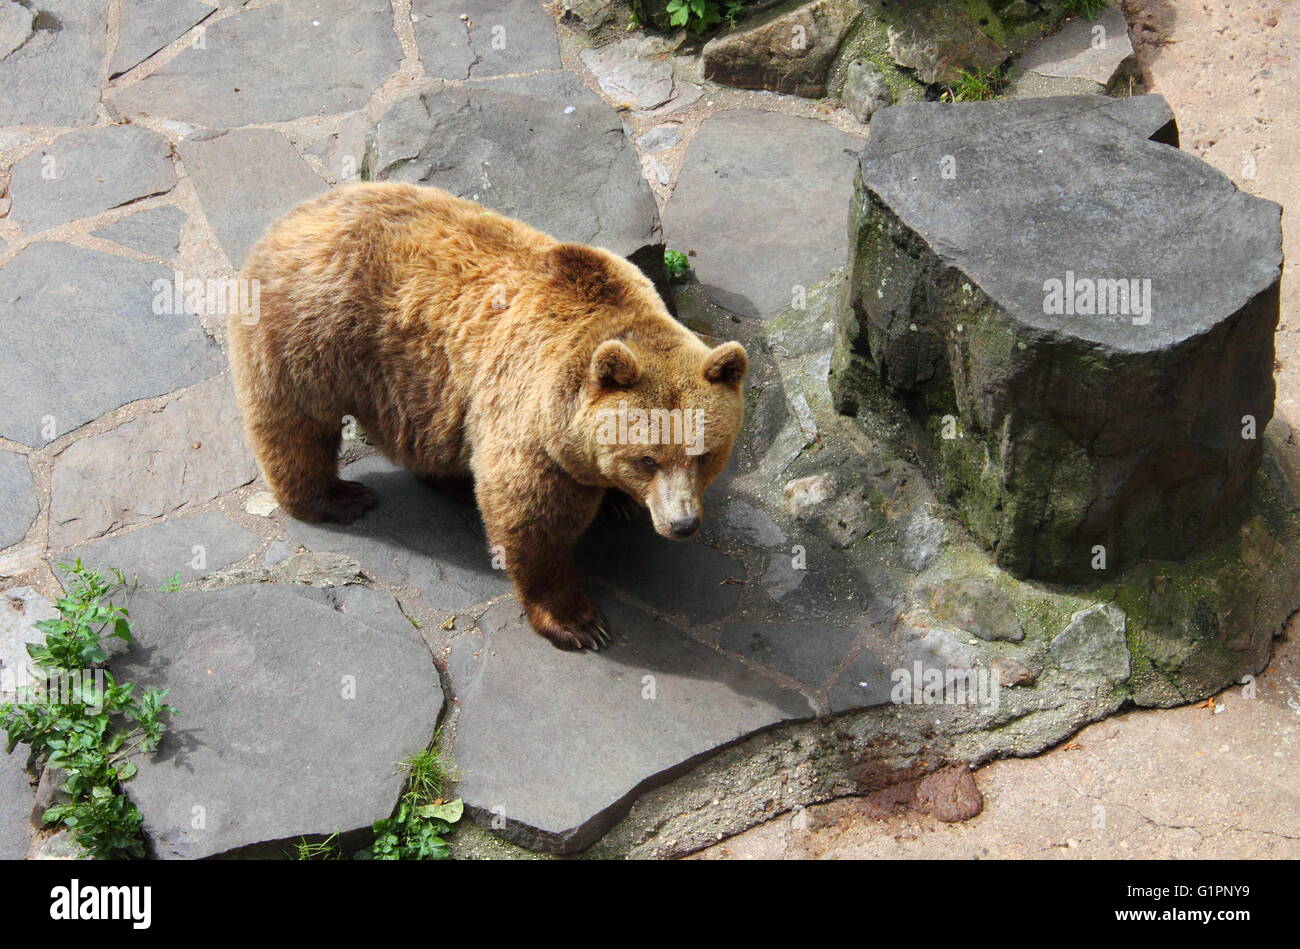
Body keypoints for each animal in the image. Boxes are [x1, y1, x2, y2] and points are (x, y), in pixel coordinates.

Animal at [228, 182, 748, 651]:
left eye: (704, 455)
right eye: (647, 458)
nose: (683, 525)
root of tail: (295, 216)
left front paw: (618, 502)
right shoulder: (533, 415)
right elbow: (529, 517)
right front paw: (578, 622)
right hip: (315, 328)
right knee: (296, 422)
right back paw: (335, 497)